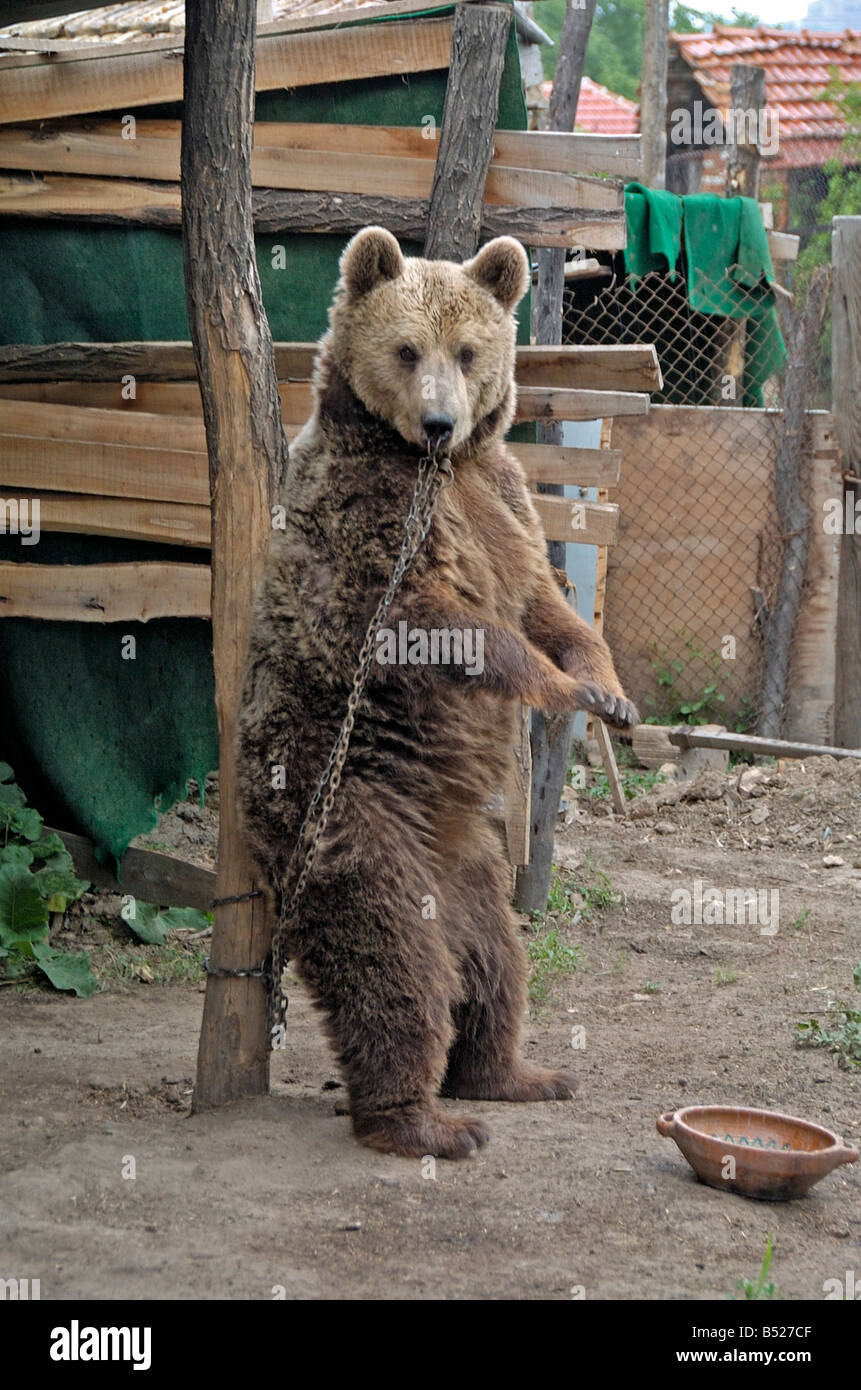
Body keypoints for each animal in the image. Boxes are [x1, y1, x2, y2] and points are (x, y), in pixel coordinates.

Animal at [237, 226, 637, 1160]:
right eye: (405, 348)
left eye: (467, 350)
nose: (439, 420)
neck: (431, 468)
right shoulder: (369, 525)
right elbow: (445, 625)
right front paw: (558, 688)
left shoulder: (503, 496)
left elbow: (547, 605)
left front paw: (607, 693)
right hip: (339, 805)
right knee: (394, 960)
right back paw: (422, 1121)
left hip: (473, 864)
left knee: (494, 963)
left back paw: (515, 1074)